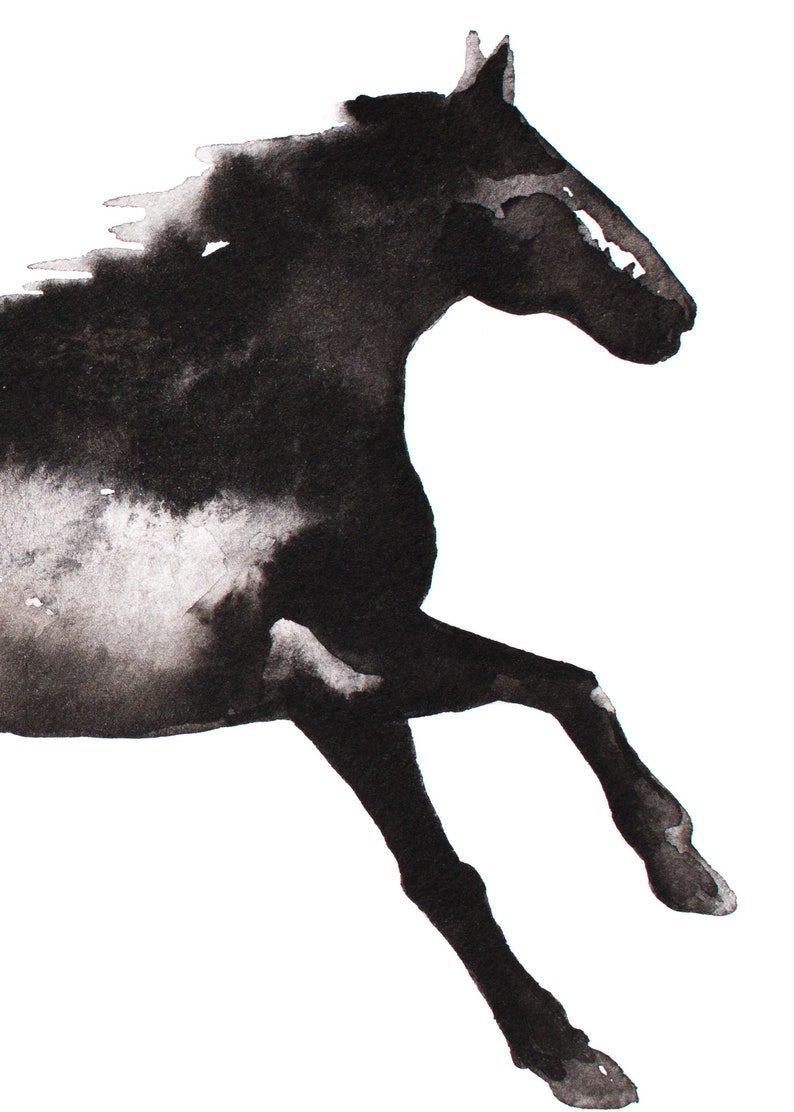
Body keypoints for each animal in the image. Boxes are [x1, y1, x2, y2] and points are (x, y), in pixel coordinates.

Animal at [0, 32, 734, 1109]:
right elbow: (444, 872)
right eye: (552, 186)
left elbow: (569, 683)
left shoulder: (367, 649)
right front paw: (565, 1051)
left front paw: (683, 867)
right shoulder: (332, 681)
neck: (215, 424)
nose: (673, 316)